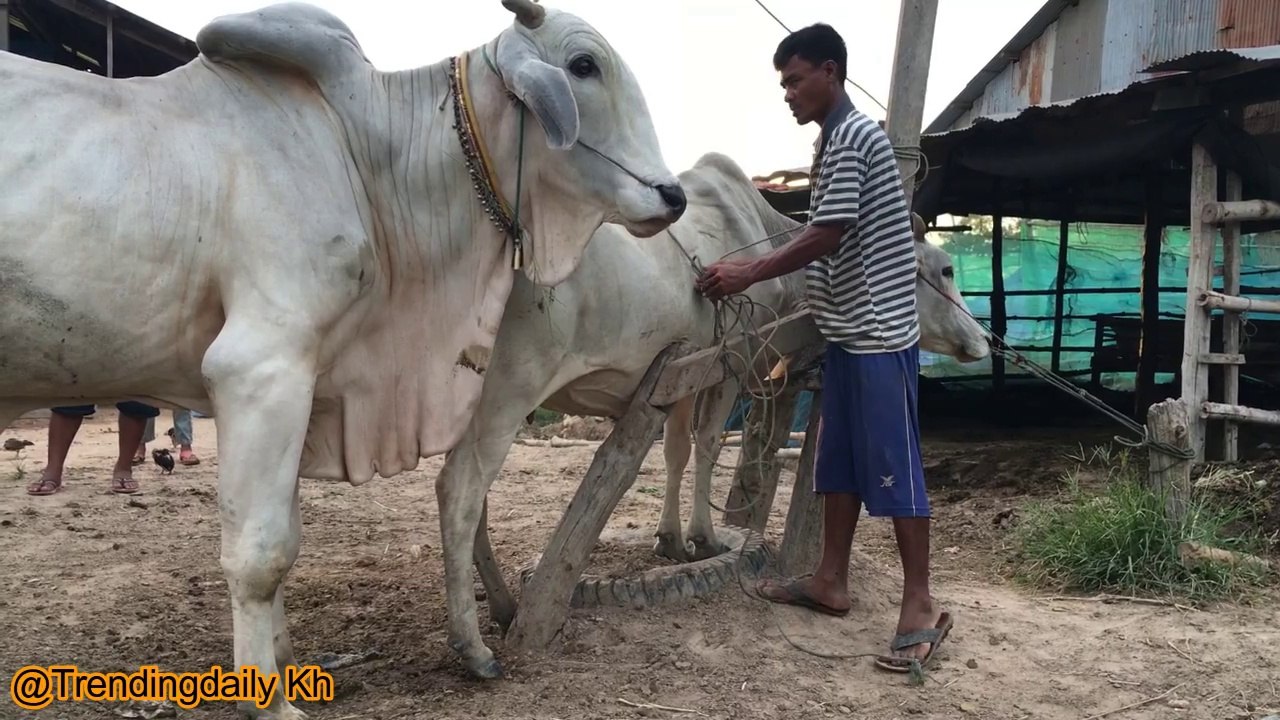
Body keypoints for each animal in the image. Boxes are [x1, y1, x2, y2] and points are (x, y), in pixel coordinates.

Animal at [0, 1, 683, 716]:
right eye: (583, 64)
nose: (674, 196)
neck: (369, 154)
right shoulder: (260, 370)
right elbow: (259, 554)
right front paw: (268, 699)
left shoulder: (304, 386)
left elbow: (289, 540)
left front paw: (287, 665)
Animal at [432, 151, 991, 679]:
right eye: (945, 269)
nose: (982, 341)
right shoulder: (729, 367)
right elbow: (707, 444)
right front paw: (703, 536)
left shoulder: (679, 376)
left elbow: (677, 452)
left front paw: (669, 539)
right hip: (505, 394)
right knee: (460, 493)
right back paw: (476, 649)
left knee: (473, 502)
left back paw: (503, 605)